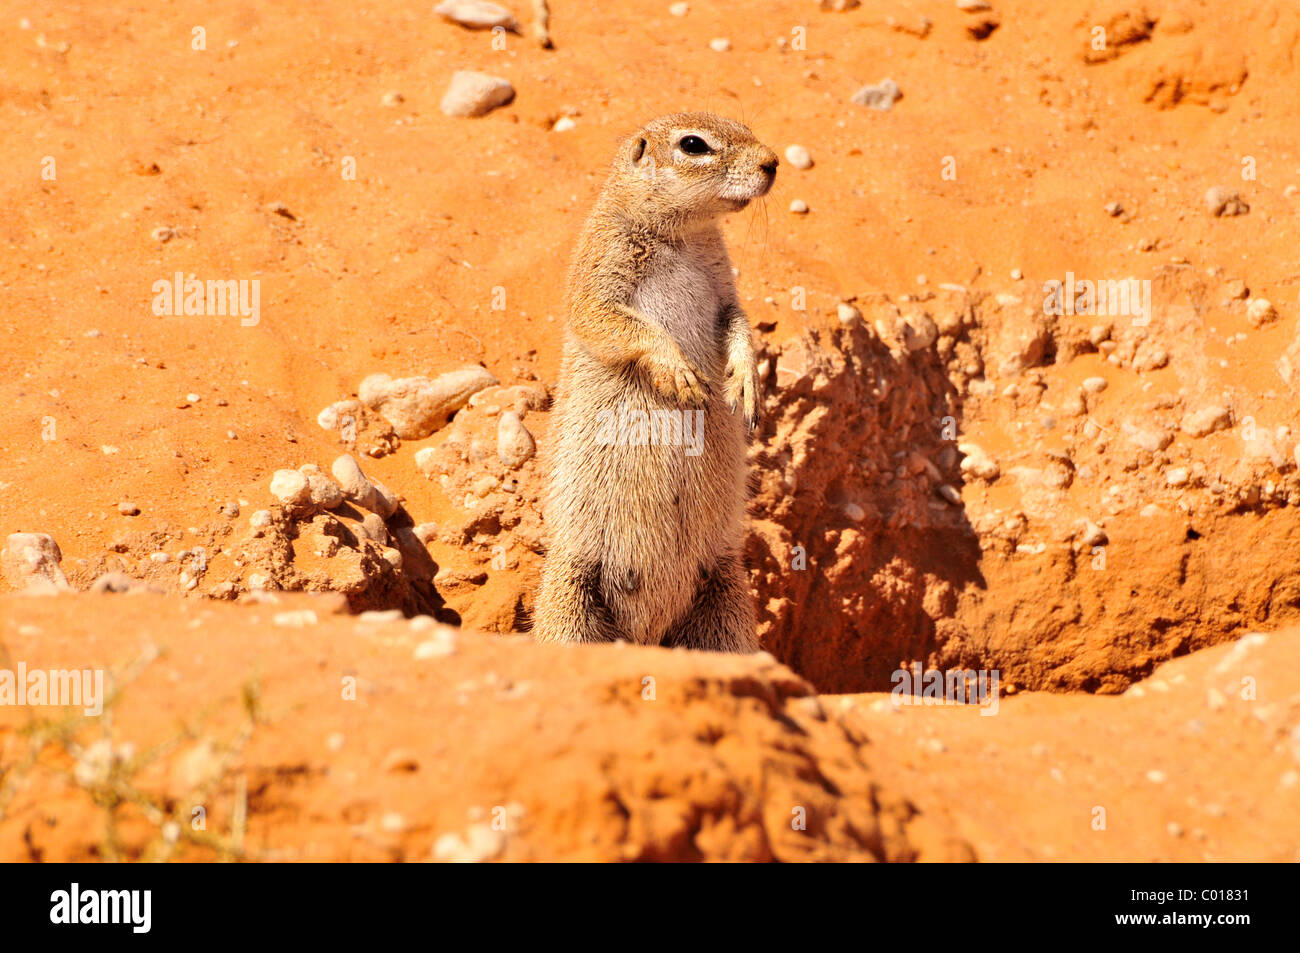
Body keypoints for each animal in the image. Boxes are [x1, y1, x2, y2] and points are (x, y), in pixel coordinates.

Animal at [533, 112, 778, 652]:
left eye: (746, 126)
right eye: (694, 145)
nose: (772, 162)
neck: (681, 238)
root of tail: (647, 631)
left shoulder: (723, 283)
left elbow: (737, 321)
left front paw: (745, 383)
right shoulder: (600, 266)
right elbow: (607, 319)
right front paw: (680, 374)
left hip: (726, 603)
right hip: (569, 603)